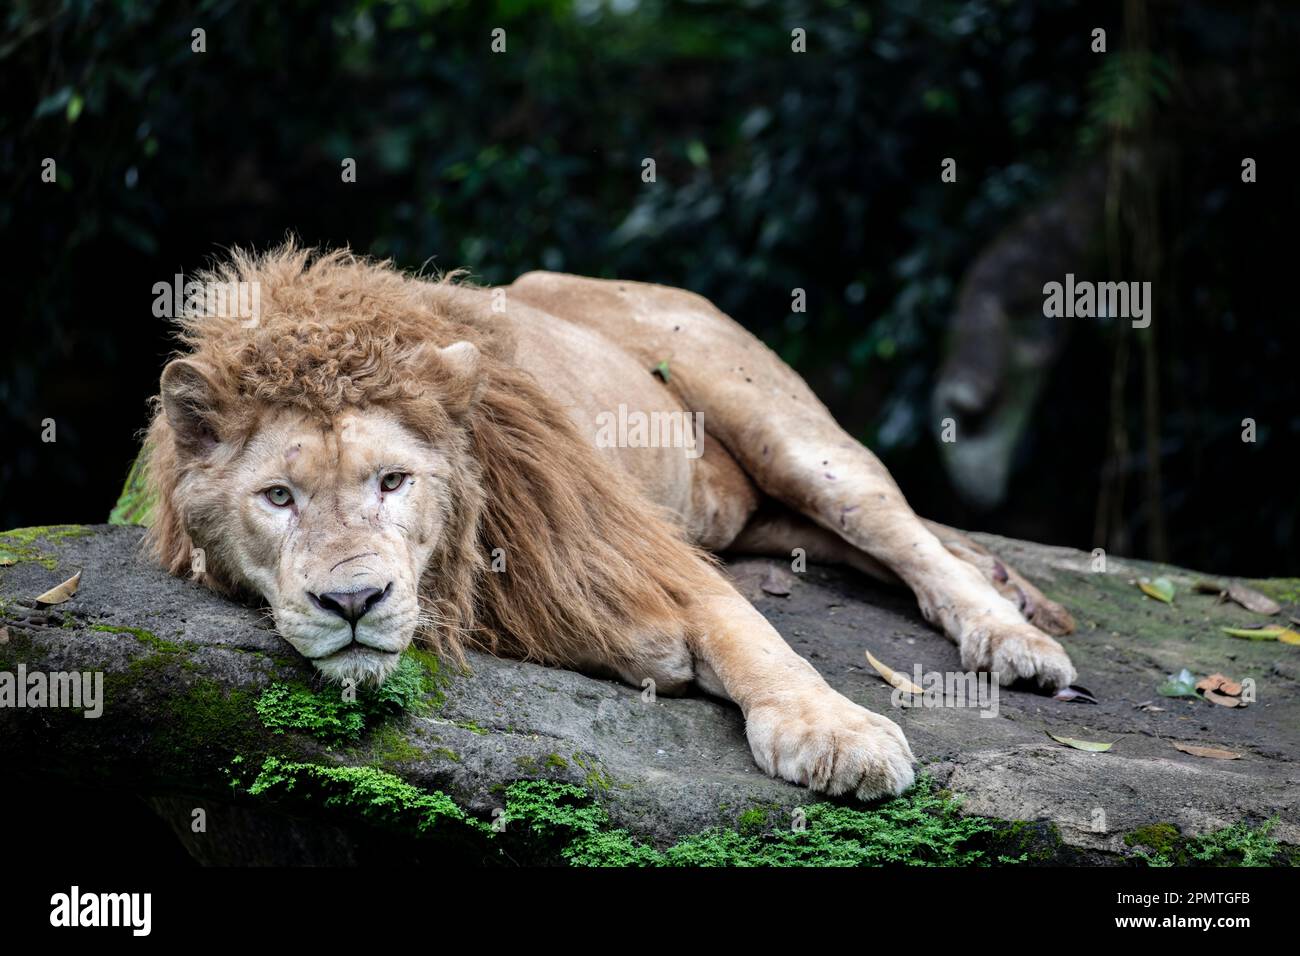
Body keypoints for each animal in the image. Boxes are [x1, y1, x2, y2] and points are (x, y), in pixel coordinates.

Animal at [144, 244, 1078, 801]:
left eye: (393, 481)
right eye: (279, 498)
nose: (352, 602)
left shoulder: (629, 546)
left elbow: (755, 639)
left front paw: (836, 735)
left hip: (786, 434)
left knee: (911, 537)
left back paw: (1014, 640)